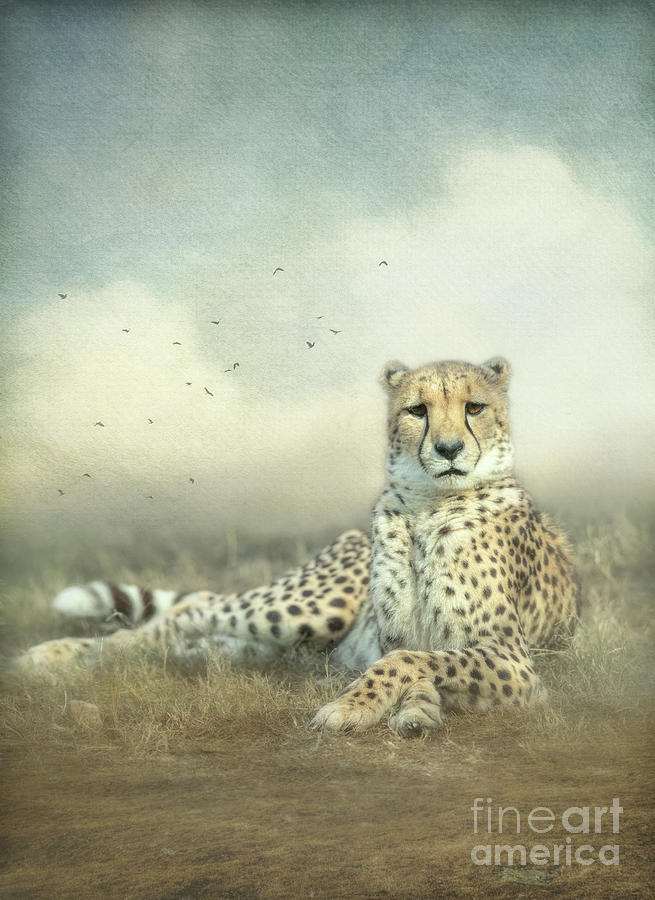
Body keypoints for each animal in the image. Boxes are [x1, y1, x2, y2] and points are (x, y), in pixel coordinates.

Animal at [14, 356, 580, 737]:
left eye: (474, 407)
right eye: (418, 410)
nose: (448, 449)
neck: (425, 506)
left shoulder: (513, 662)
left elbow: (417, 664)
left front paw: (411, 713)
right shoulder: (470, 653)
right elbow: (402, 660)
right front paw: (356, 708)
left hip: (273, 643)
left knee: (197, 634)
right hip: (306, 609)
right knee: (190, 612)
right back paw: (47, 655)